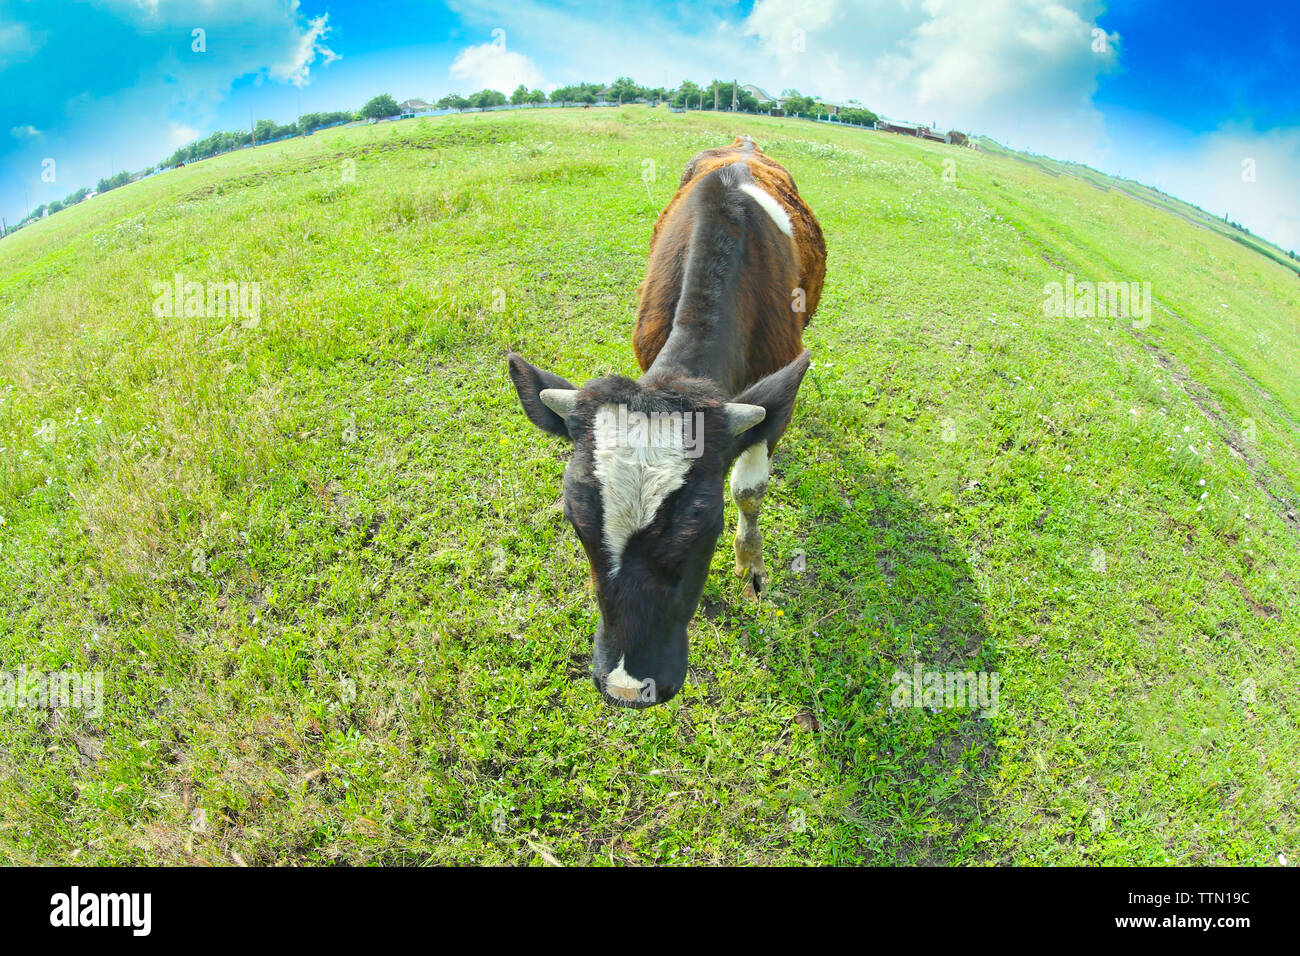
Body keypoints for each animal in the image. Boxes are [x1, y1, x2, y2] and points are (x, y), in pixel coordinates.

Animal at [508, 135, 827, 708]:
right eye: (577, 524)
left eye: (706, 528)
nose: (629, 687)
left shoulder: (775, 398)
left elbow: (750, 487)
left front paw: (750, 563)